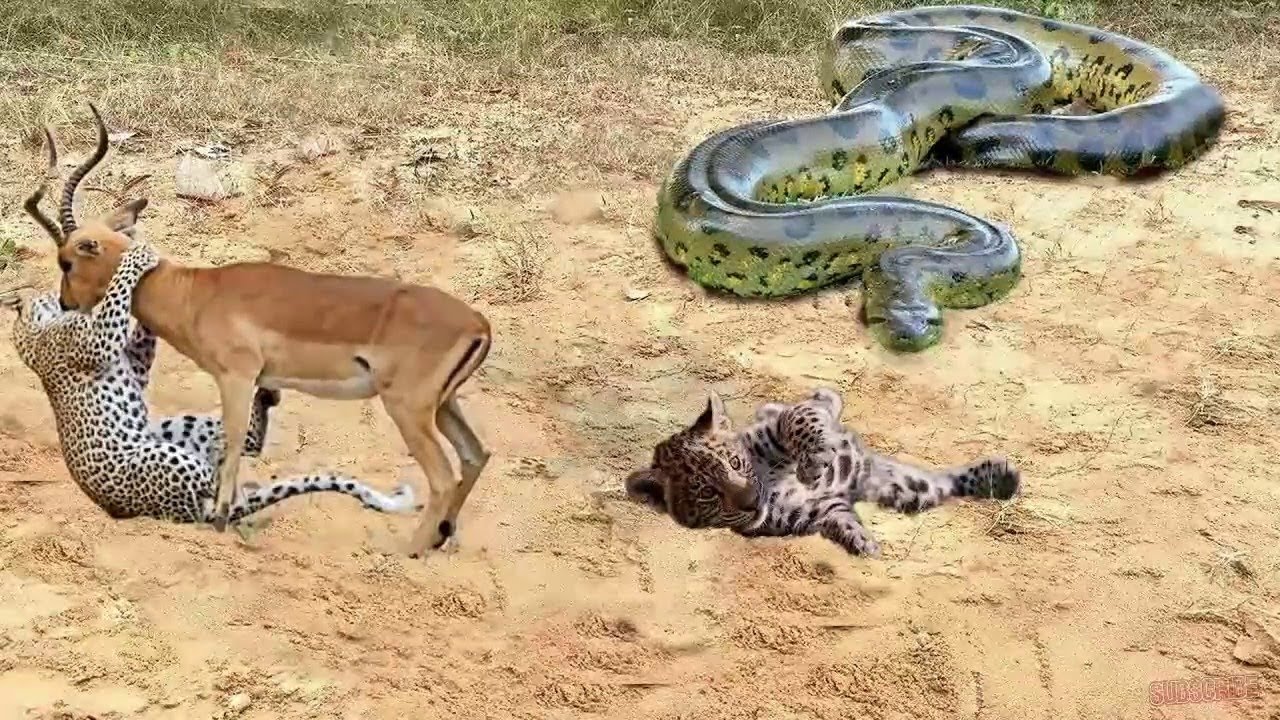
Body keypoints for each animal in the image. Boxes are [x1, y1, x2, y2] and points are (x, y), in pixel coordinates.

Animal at [2, 240, 421, 525]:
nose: (61, 300)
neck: (29, 337)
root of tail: (188, 512)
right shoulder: (94, 342)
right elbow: (115, 299)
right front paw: (138, 256)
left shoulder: (131, 360)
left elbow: (138, 335)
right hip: (169, 457)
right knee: (232, 460)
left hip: (176, 428)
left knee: (237, 447)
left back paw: (263, 399)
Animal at [625, 386, 1021, 556]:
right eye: (707, 493)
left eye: (735, 463)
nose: (752, 501)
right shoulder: (816, 511)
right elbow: (839, 519)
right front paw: (859, 541)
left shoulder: (779, 429)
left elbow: (797, 420)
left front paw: (814, 462)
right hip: (909, 488)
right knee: (940, 485)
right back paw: (1001, 479)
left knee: (814, 404)